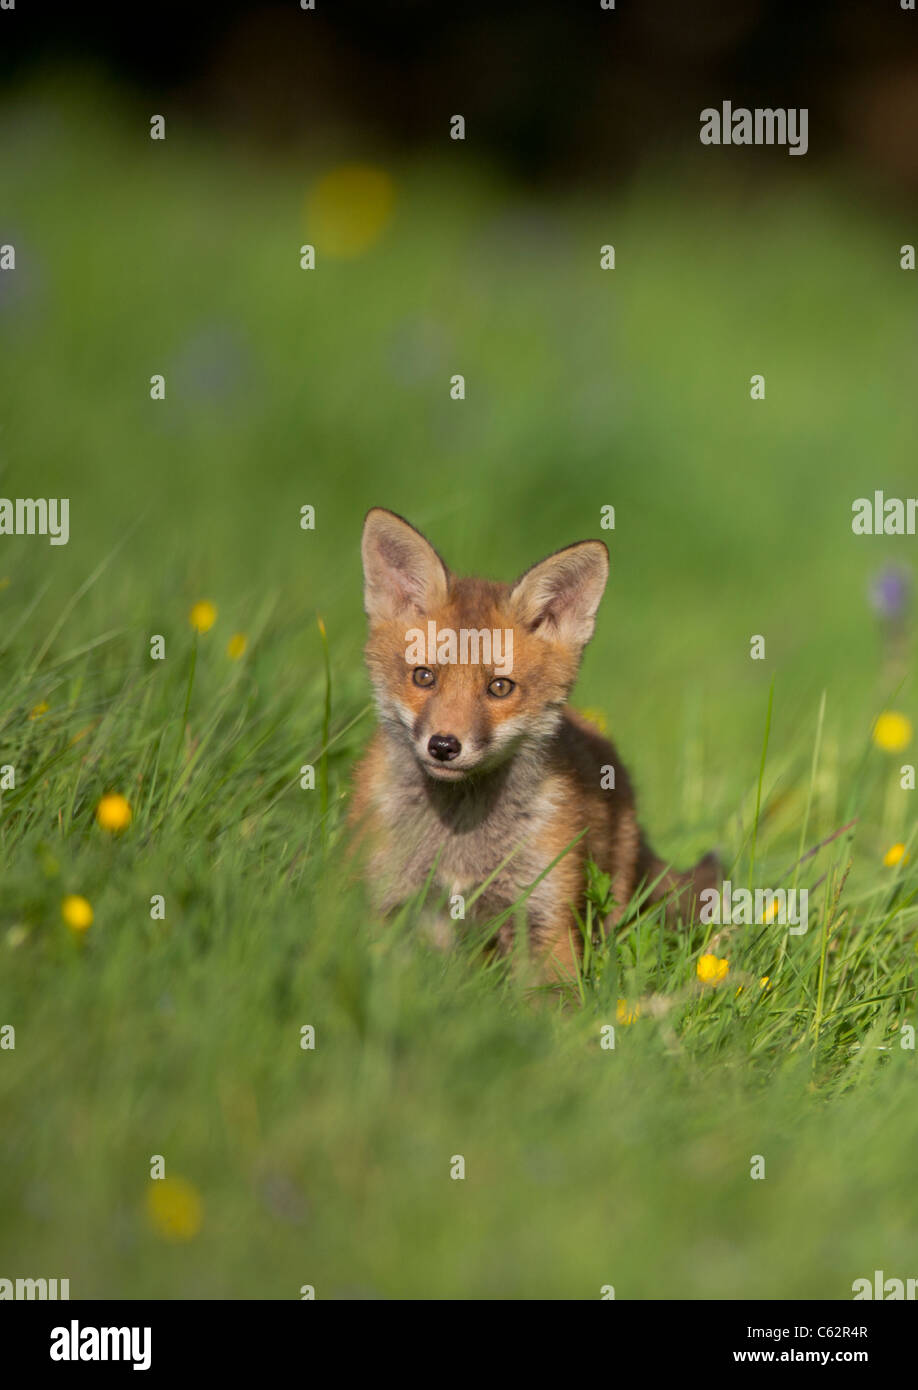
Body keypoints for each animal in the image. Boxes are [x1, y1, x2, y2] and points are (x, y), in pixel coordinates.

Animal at [349, 507, 720, 981]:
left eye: (500, 687)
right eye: (423, 676)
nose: (444, 746)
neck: (461, 842)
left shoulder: (546, 917)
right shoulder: (380, 902)